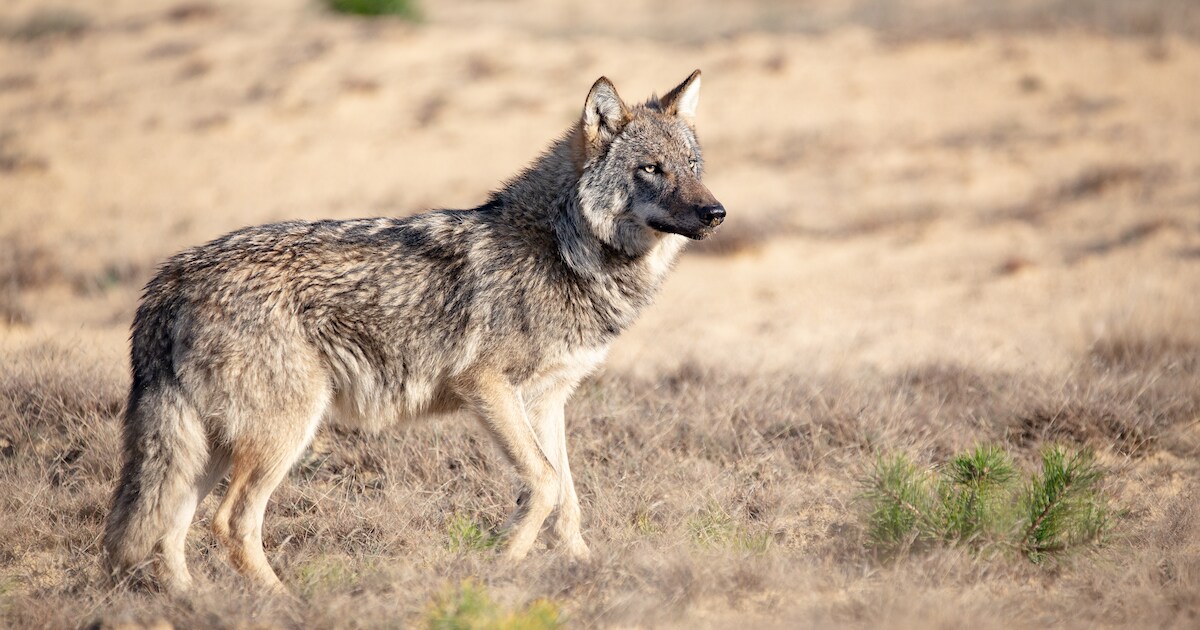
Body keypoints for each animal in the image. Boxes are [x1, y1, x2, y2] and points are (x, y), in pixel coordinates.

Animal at [103, 70, 725, 592]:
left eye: (694, 166)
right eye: (651, 169)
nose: (717, 213)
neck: (562, 249)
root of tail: (170, 278)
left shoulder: (548, 400)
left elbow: (567, 500)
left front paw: (586, 570)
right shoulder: (486, 388)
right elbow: (546, 485)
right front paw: (501, 564)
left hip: (210, 446)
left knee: (167, 530)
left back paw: (194, 603)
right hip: (282, 434)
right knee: (230, 523)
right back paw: (281, 603)